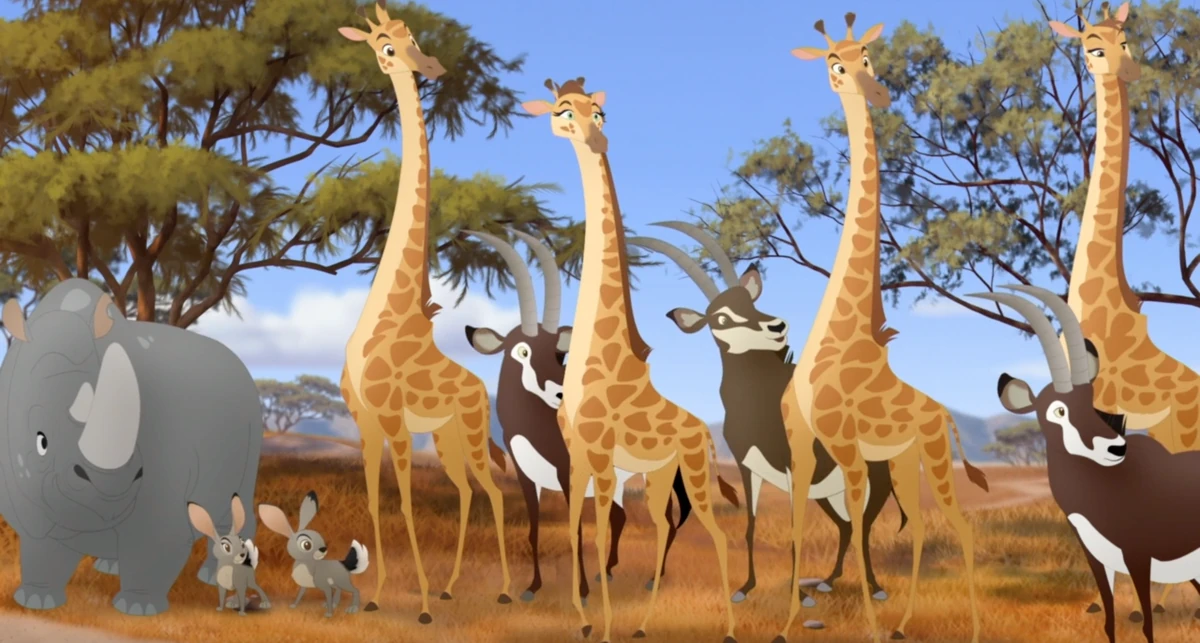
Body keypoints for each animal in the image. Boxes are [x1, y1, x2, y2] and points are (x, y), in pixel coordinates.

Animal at [335, 1, 512, 622]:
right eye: (385, 47)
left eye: (413, 36)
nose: (430, 67)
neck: (387, 315)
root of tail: (481, 389)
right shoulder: (365, 422)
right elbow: (374, 501)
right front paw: (378, 596)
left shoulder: (392, 421)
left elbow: (406, 504)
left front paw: (421, 607)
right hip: (447, 439)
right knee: (466, 492)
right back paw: (454, 585)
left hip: (471, 433)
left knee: (493, 492)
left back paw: (499, 589)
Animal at [522, 77, 740, 643]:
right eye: (561, 111)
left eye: (600, 112)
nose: (595, 139)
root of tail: (706, 434)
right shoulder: (578, 455)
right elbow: (574, 527)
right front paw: (582, 620)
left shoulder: (601, 458)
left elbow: (600, 536)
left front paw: (602, 628)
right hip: (661, 476)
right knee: (664, 527)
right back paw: (643, 624)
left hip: (693, 473)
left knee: (715, 534)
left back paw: (728, 626)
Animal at [775, 14, 990, 643]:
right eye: (834, 64)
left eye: (869, 58)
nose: (876, 93)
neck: (839, 332)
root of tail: (945, 414)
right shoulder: (802, 442)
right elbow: (797, 523)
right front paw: (787, 623)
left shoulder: (845, 446)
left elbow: (853, 520)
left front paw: (868, 626)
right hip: (903, 459)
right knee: (917, 528)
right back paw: (907, 622)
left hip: (931, 458)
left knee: (961, 528)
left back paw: (967, 629)